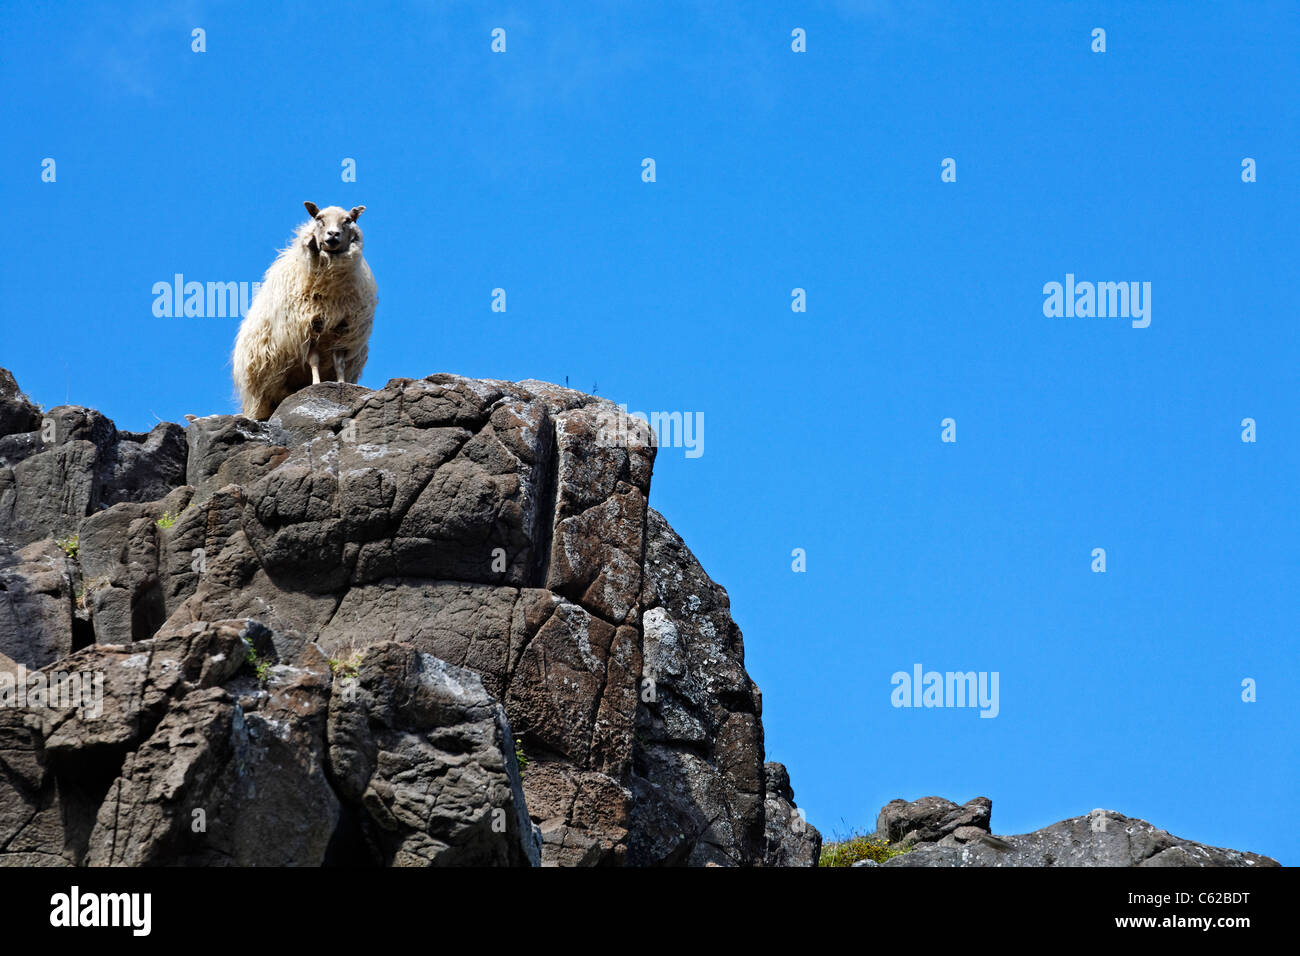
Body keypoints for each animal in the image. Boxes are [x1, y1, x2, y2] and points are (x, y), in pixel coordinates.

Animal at [232, 202, 377, 420]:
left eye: (348, 220)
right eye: (319, 218)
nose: (332, 235)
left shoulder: (342, 333)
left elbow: (339, 364)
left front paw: (341, 384)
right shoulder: (307, 331)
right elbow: (314, 361)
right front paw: (316, 384)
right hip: (260, 392)